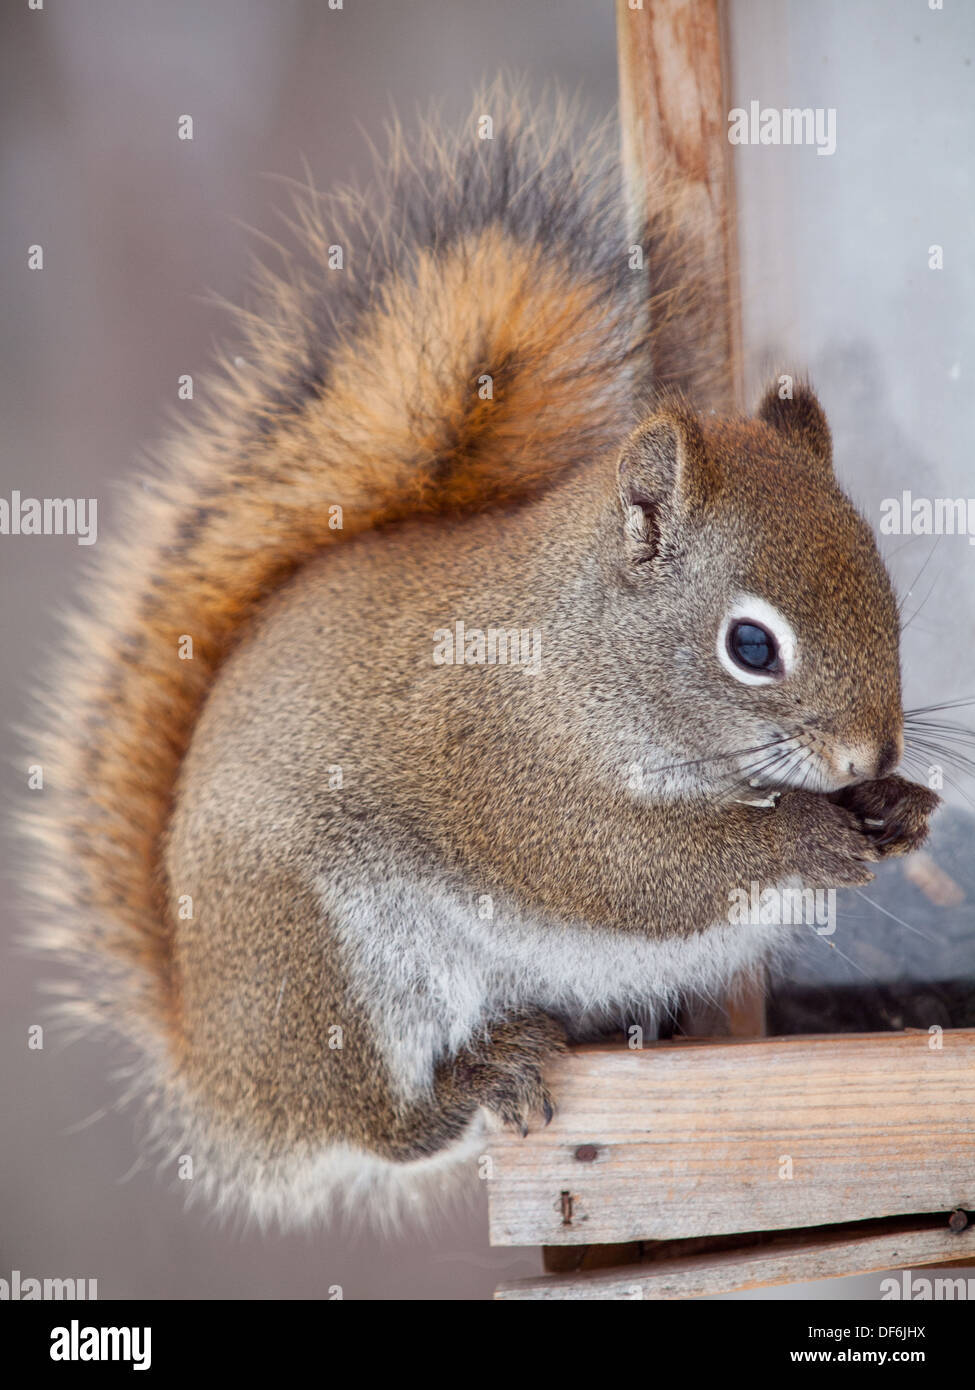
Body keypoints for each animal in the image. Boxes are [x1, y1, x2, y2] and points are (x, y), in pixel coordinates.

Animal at [29, 88, 939, 1226]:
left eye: (887, 596)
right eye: (749, 645)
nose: (868, 754)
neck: (590, 655)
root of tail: (217, 1069)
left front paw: (897, 809)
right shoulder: (513, 775)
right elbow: (635, 873)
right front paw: (808, 836)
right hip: (331, 964)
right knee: (379, 1124)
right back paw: (471, 1082)